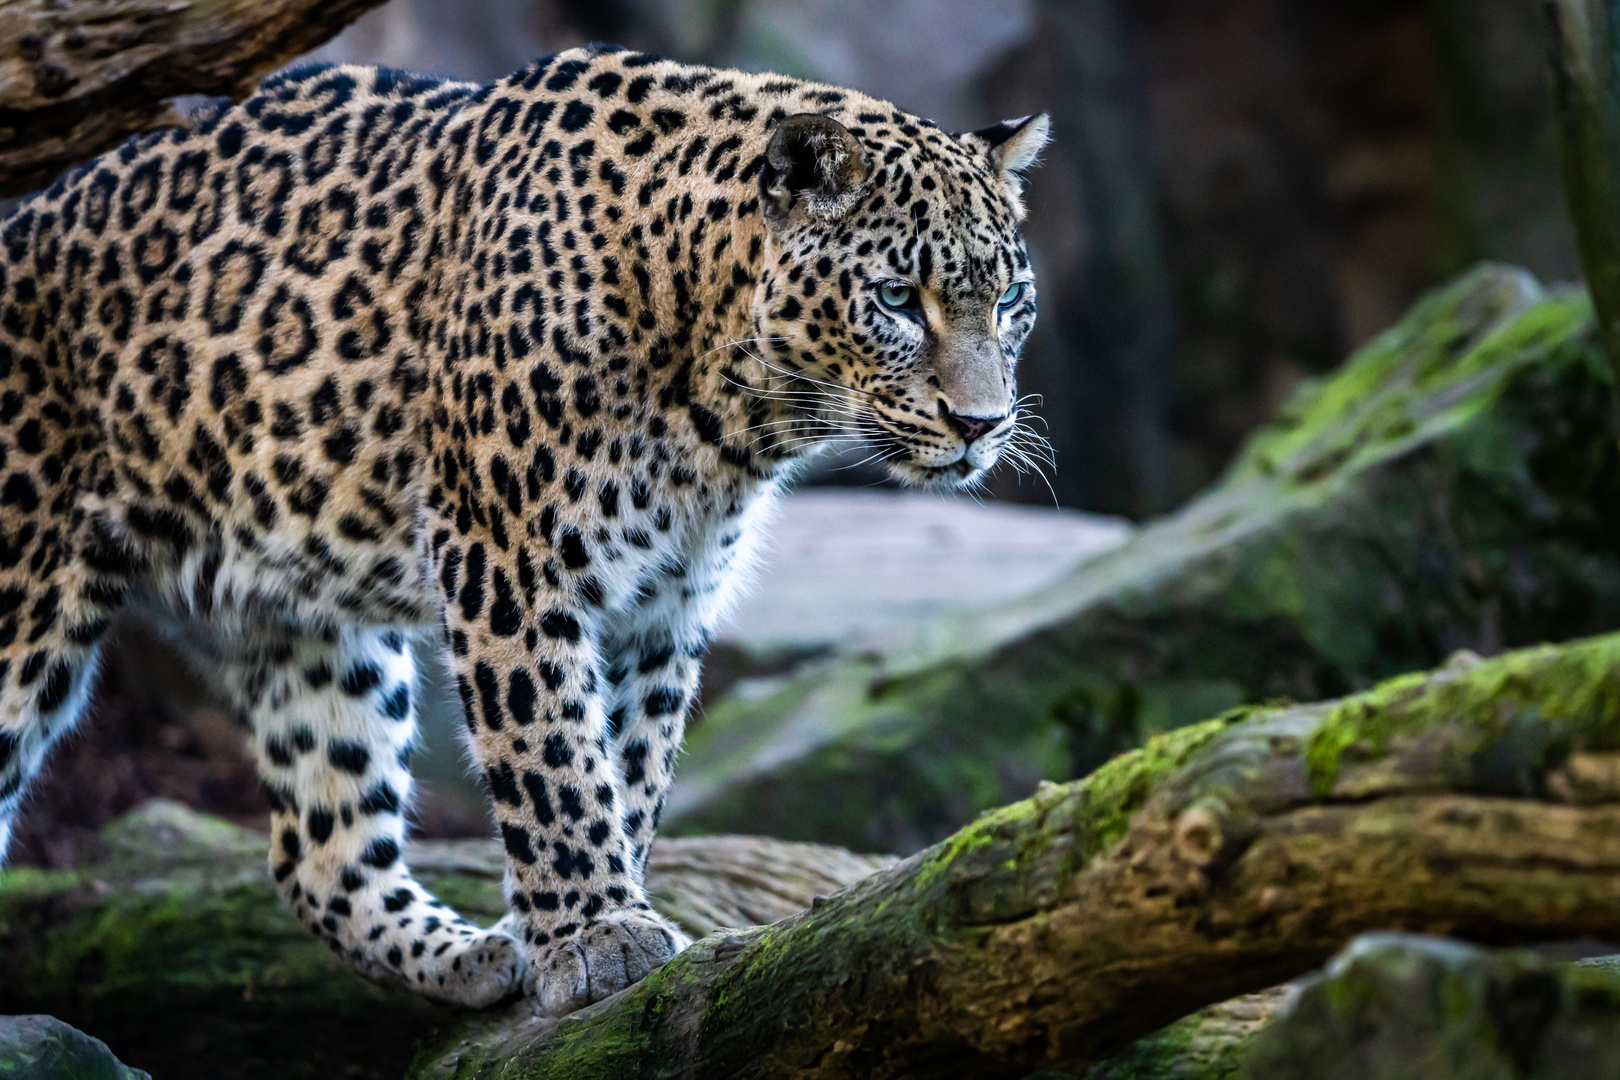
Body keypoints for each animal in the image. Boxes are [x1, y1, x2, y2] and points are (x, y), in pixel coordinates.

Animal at [0, 42, 1050, 1014]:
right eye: (896, 301)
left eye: (1007, 300)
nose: (982, 423)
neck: (727, 408)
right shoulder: (506, 555)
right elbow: (550, 750)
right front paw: (597, 930)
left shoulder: (666, 597)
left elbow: (627, 759)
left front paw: (577, 913)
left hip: (304, 622)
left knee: (317, 852)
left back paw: (464, 953)